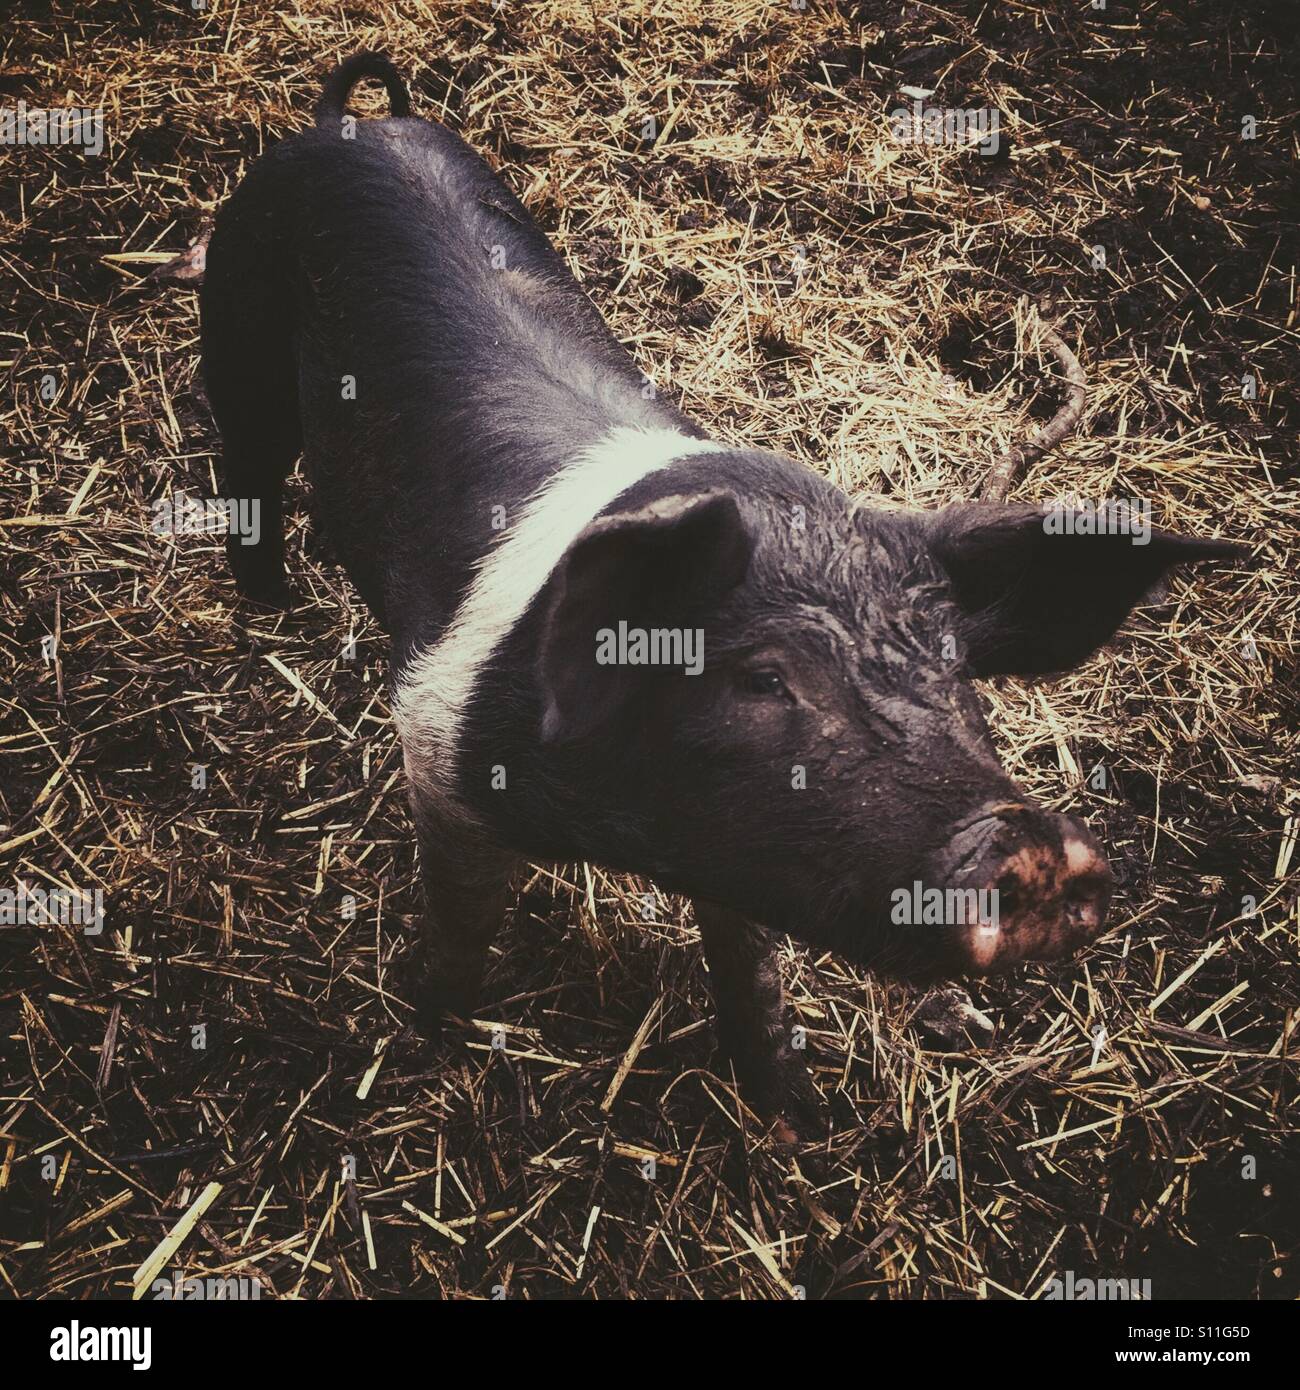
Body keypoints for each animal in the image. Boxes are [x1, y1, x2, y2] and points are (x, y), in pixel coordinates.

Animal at [200, 53, 1243, 1132]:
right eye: (760, 679)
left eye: (959, 674)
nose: (1033, 844)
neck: (624, 830)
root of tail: (353, 120)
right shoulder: (436, 739)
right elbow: (462, 923)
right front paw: (431, 1025)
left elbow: (752, 969)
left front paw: (796, 1114)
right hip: (235, 323)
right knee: (247, 464)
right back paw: (268, 607)